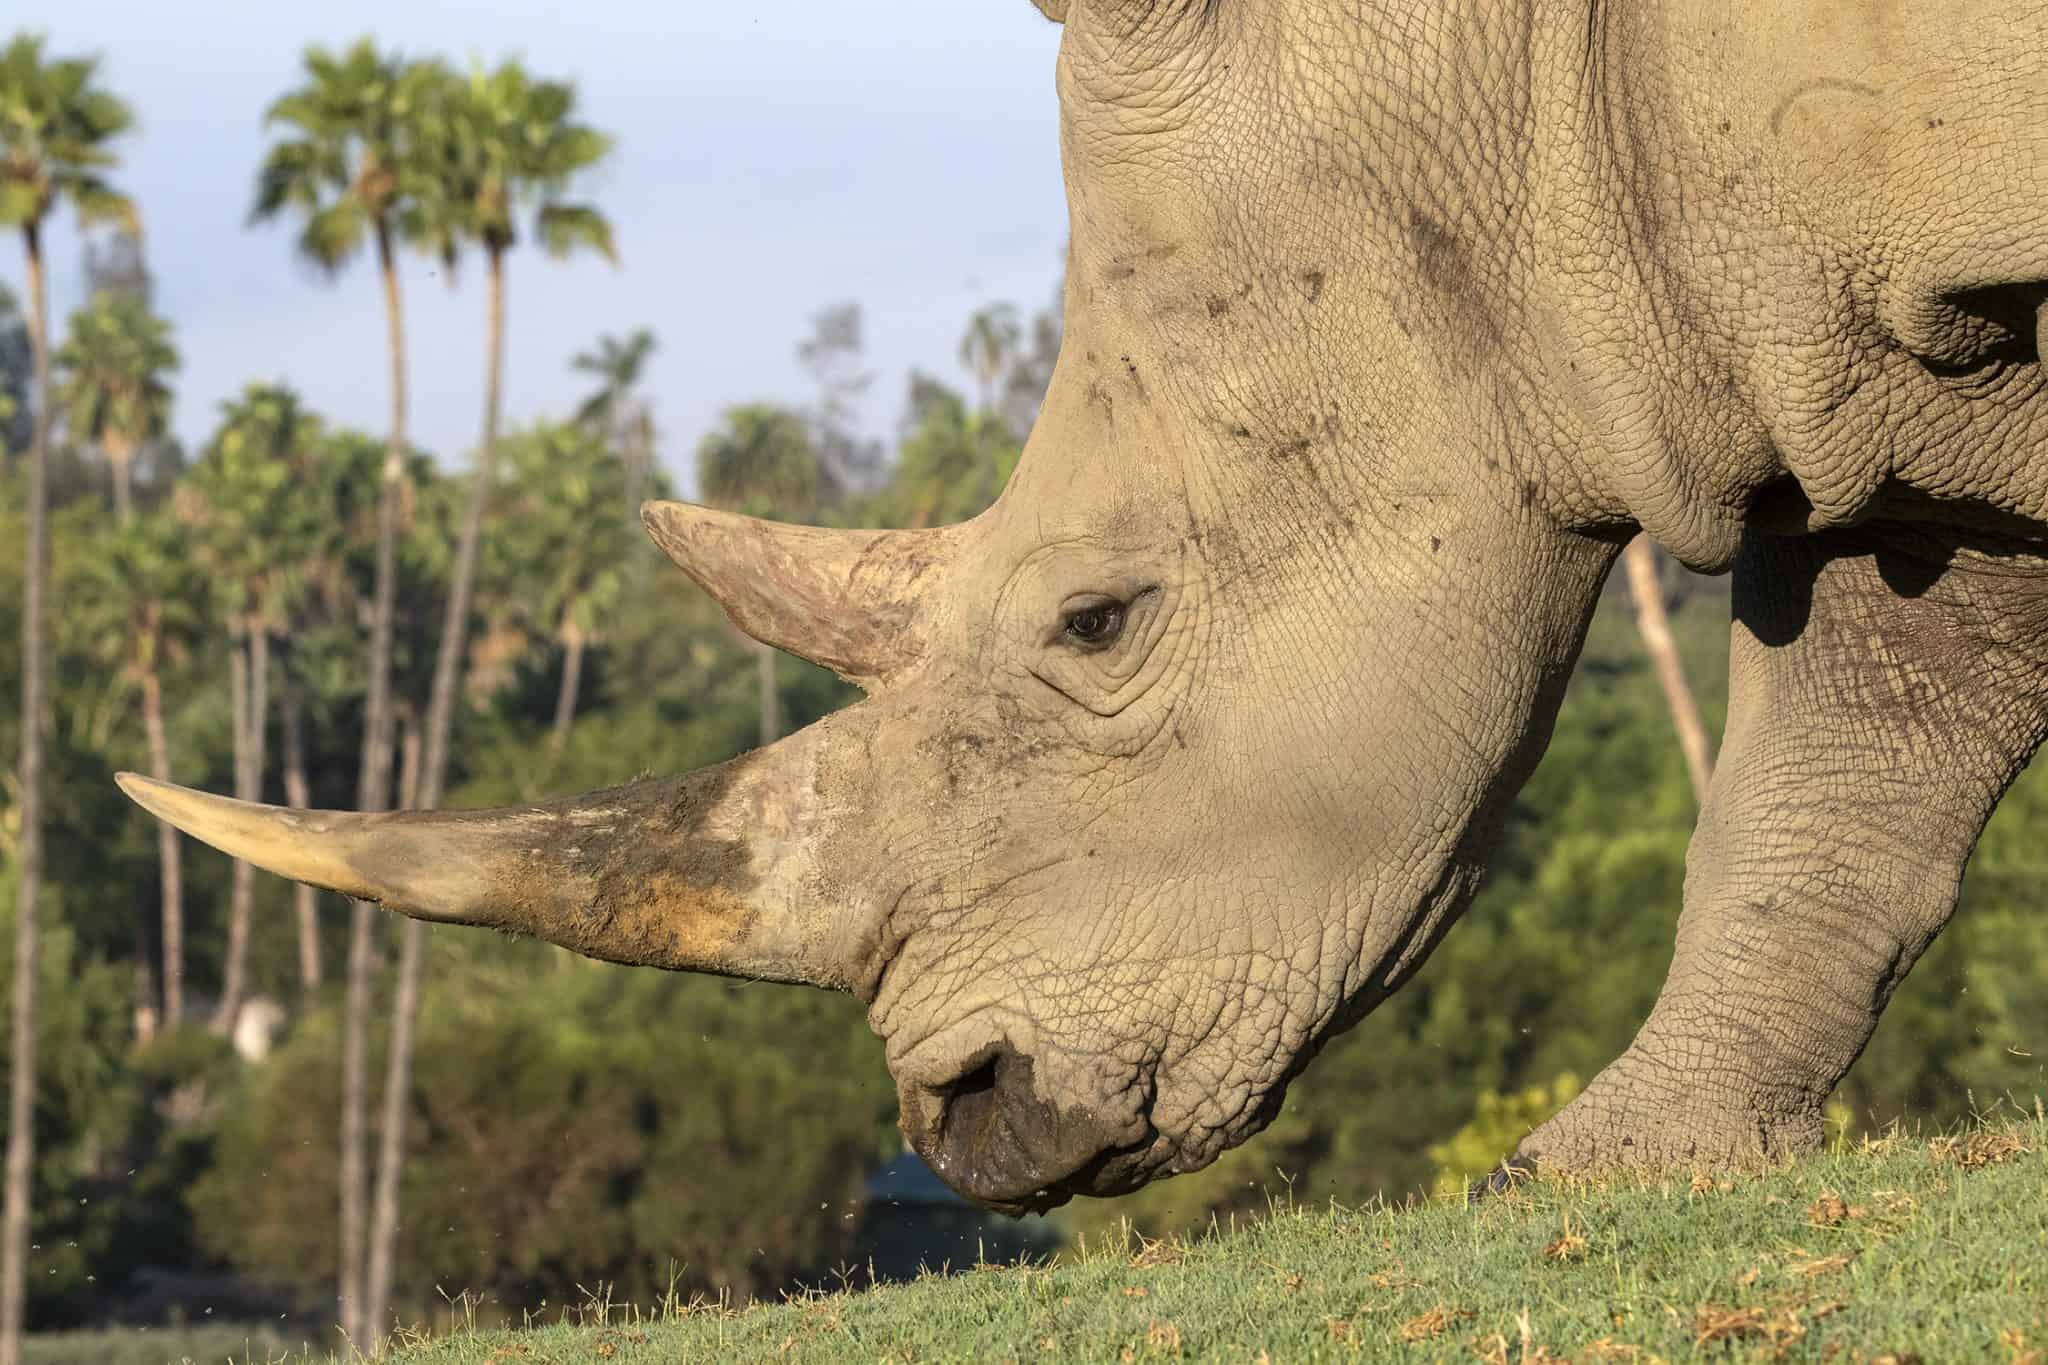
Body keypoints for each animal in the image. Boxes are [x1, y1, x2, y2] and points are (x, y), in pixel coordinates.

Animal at [122, 0, 2048, 1212]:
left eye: (1096, 624)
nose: (963, 1116)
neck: (1526, 82)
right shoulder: (1837, 315)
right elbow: (1854, 745)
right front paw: (1611, 1173)